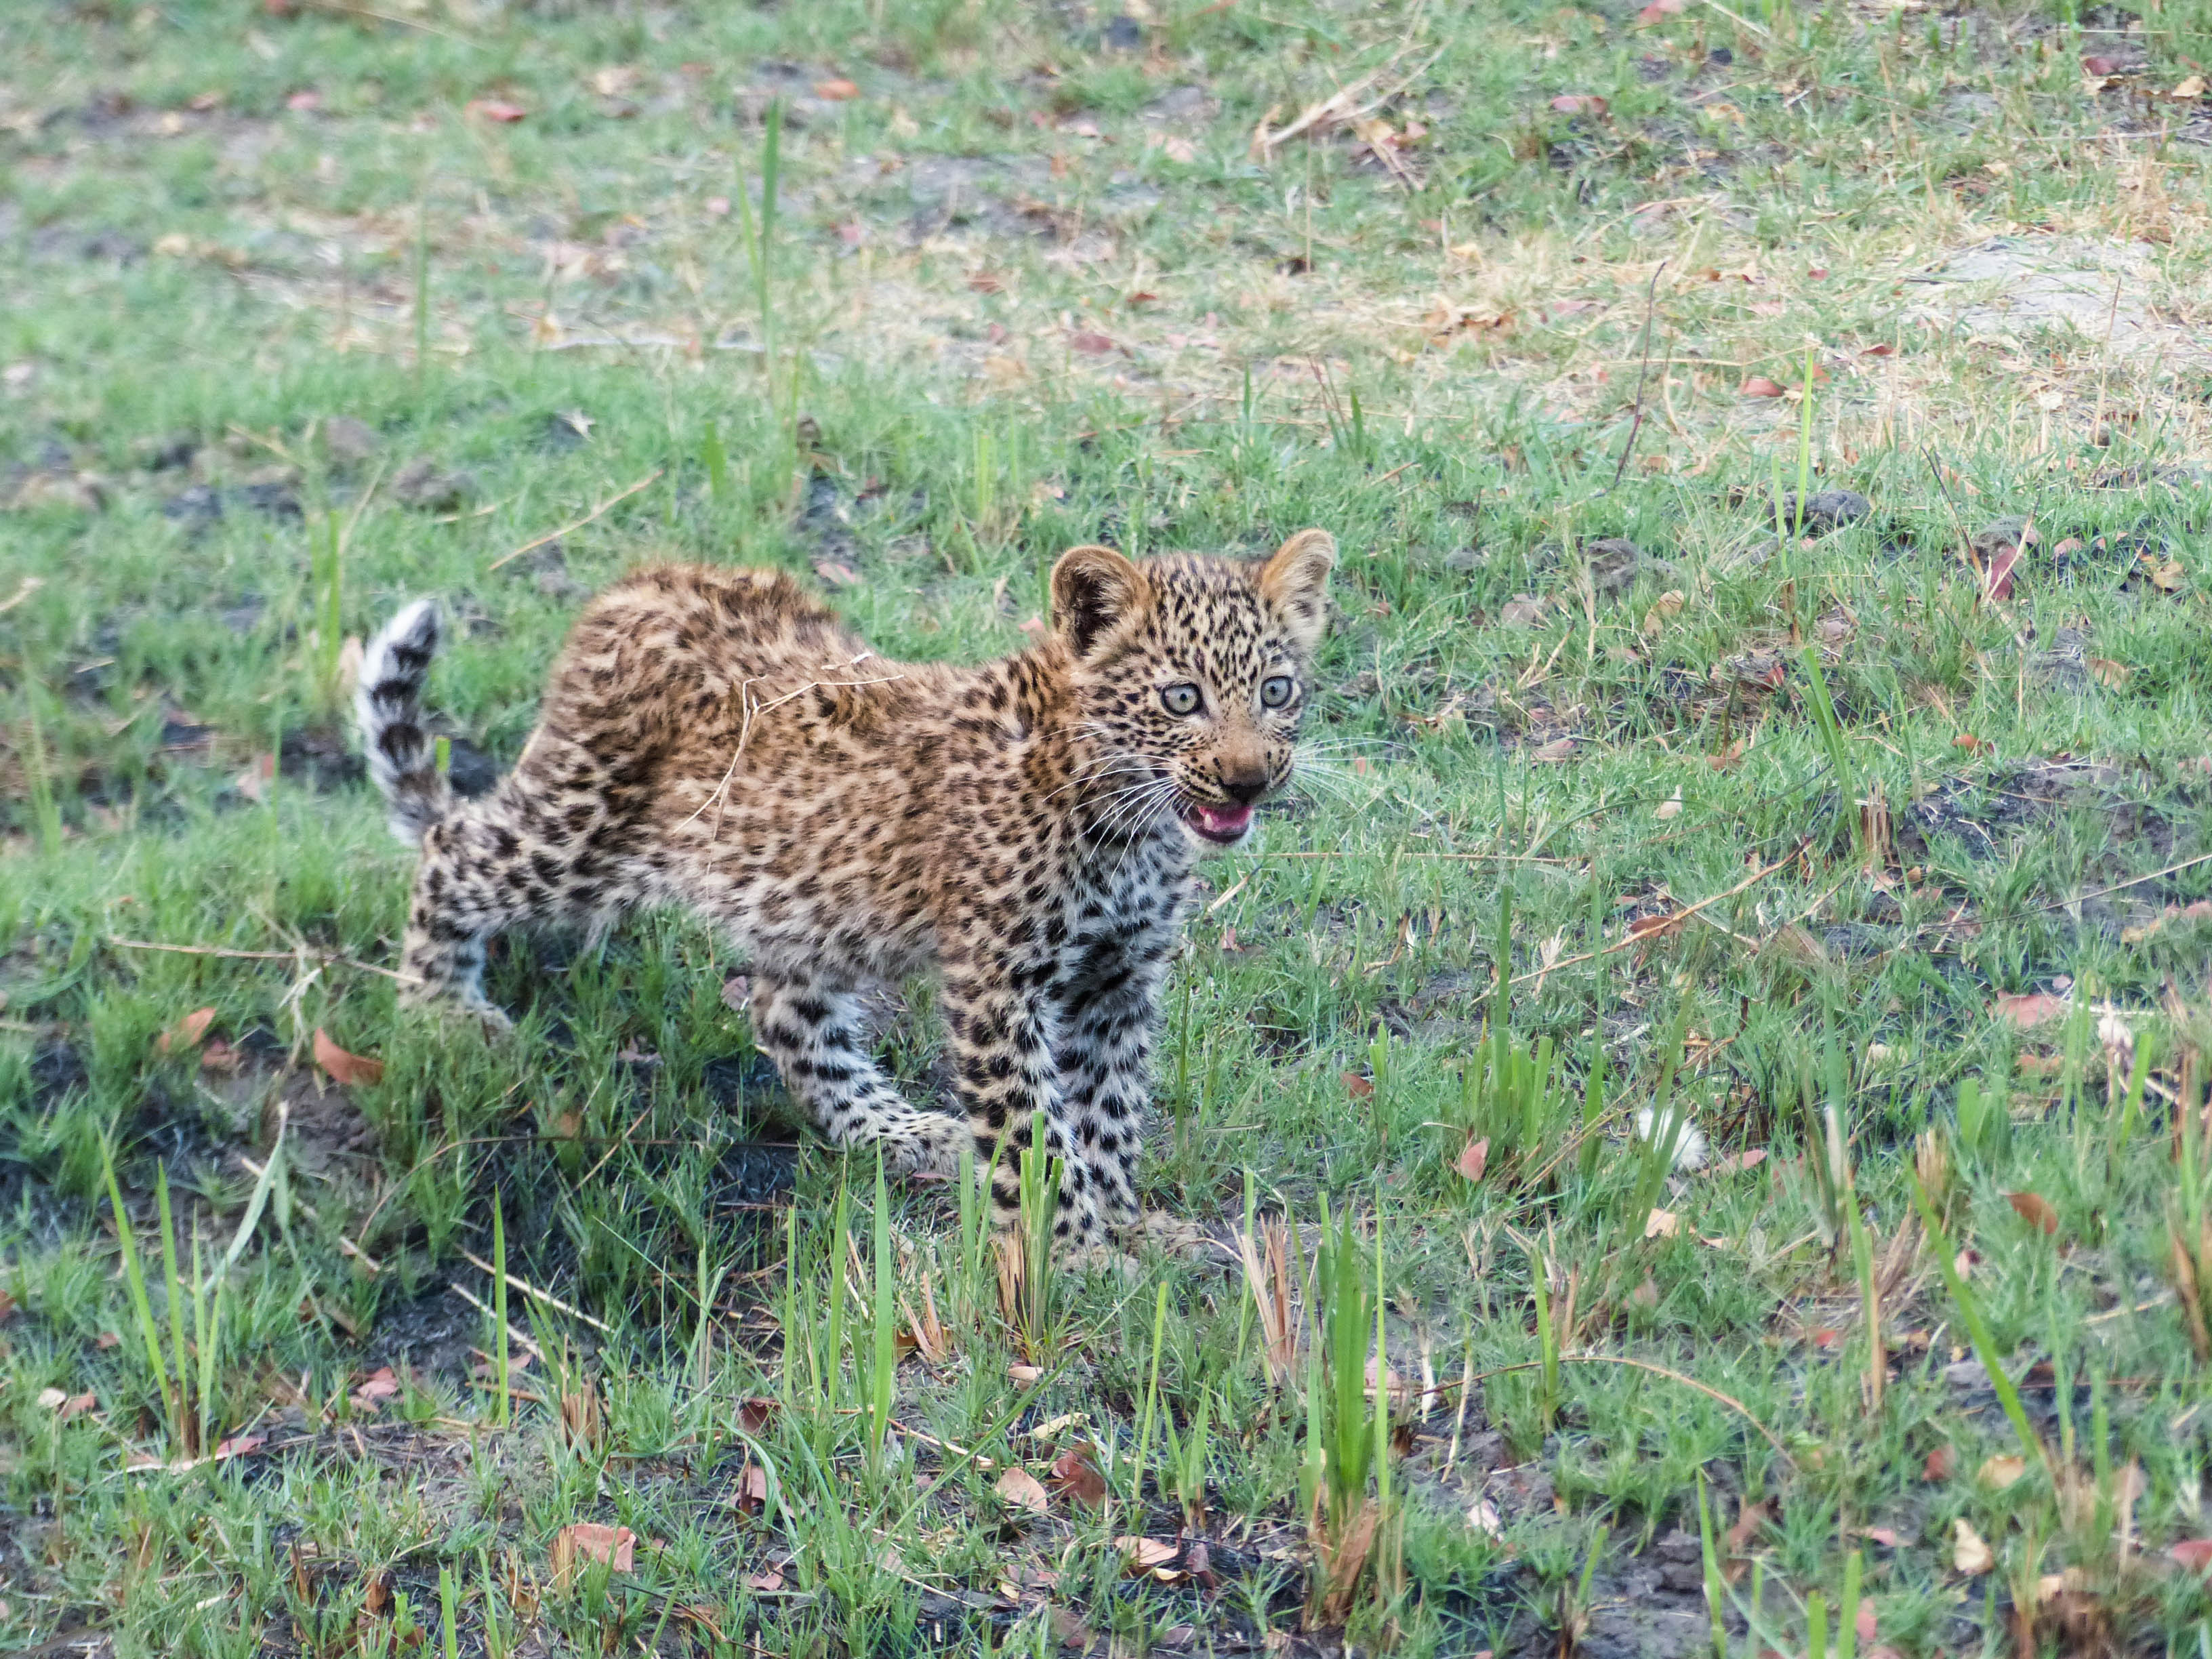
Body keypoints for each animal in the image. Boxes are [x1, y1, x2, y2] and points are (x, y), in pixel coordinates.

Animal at [354, 530, 1336, 1248]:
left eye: (1276, 690)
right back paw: (439, 1012)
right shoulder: (999, 985)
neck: (1130, 826)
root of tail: (639, 584)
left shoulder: (1116, 982)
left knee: (788, 1016)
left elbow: (1110, 1117)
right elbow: (1036, 1135)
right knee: (452, 847)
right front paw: (1073, 1256)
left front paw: (1129, 1229)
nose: (1251, 780)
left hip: (811, 902)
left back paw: (903, 1131)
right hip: (579, 830)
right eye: (1182, 698)